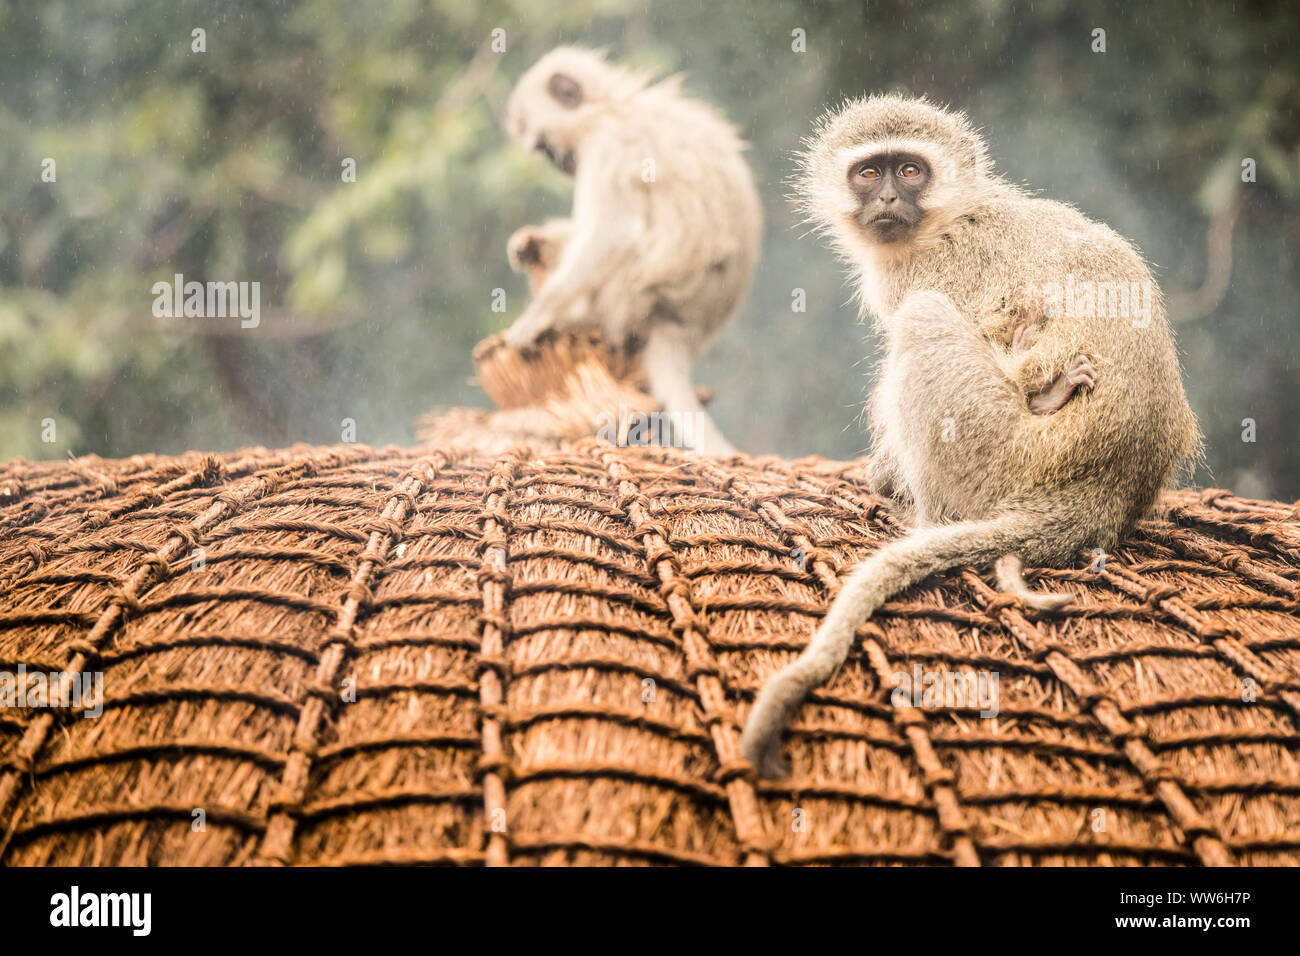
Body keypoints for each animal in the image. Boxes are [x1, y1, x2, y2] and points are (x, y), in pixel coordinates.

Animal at [501, 47, 763, 456]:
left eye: (544, 148)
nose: (560, 163)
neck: (611, 105)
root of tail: (688, 326)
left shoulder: (607, 145)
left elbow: (614, 234)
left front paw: (536, 316)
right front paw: (534, 241)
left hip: (638, 295)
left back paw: (580, 318)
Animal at [739, 94, 1201, 778]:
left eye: (910, 171)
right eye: (869, 173)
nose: (887, 200)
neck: (948, 218)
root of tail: (1105, 490)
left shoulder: (934, 271)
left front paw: (885, 473)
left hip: (998, 453)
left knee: (926, 321)